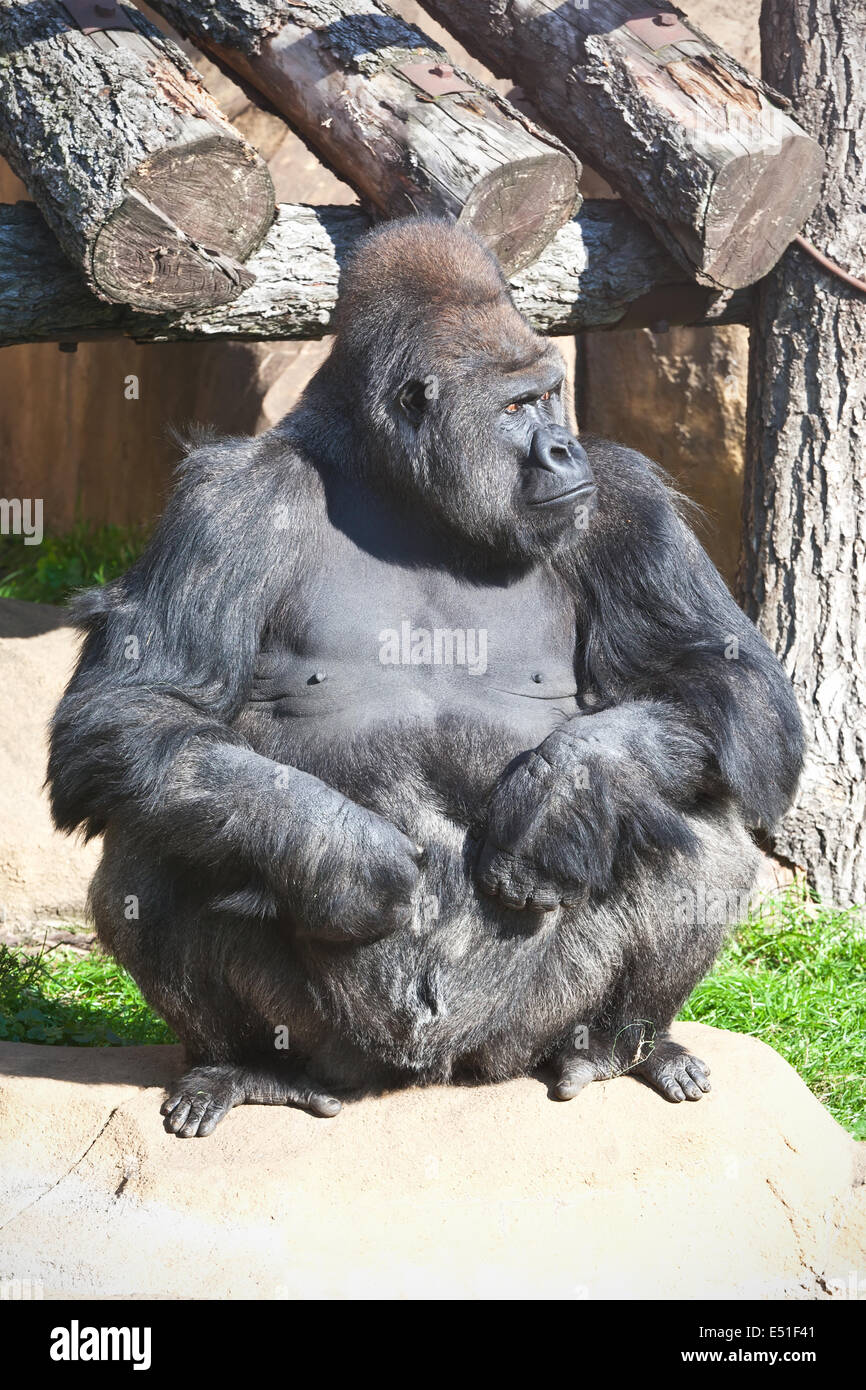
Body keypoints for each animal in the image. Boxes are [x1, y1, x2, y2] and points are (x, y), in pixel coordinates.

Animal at [48, 217, 803, 1136]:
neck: (408, 493)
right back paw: (245, 1064)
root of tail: (437, 1067)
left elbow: (727, 682)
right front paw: (339, 852)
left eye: (551, 395)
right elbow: (134, 705)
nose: (563, 447)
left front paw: (563, 790)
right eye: (515, 408)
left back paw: (617, 1044)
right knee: (157, 818)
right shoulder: (224, 502)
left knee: (698, 808)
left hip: (520, 1031)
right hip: (337, 1044)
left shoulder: (623, 497)